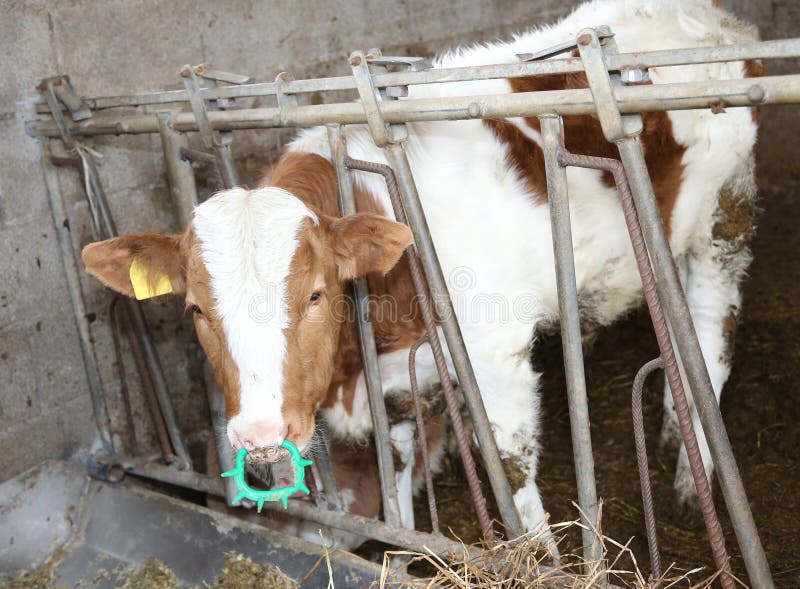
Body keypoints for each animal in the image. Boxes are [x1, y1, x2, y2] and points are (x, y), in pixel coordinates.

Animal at [82, 0, 760, 546]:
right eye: (196, 308)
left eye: (316, 295)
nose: (260, 432)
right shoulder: (398, 379)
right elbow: (398, 466)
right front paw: (407, 549)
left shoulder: (495, 351)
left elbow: (509, 464)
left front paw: (544, 556)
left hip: (725, 215)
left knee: (713, 331)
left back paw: (691, 474)